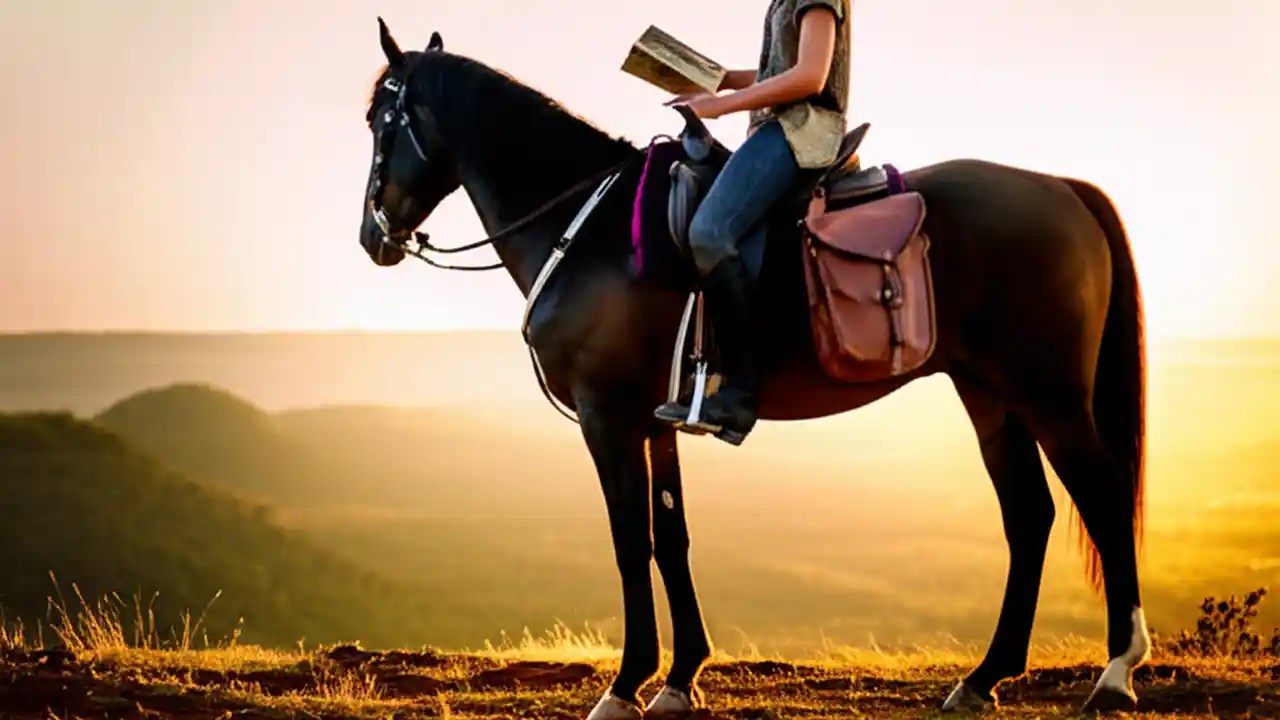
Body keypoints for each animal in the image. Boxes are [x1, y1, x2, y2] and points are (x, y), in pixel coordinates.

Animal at [357, 20, 1150, 718]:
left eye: (378, 121)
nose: (373, 236)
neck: (587, 229)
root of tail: (1060, 187)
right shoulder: (655, 420)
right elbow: (671, 536)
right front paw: (680, 679)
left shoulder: (606, 417)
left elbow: (630, 541)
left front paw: (625, 685)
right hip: (990, 394)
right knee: (1030, 515)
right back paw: (984, 678)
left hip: (1050, 394)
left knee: (1104, 497)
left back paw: (1115, 672)